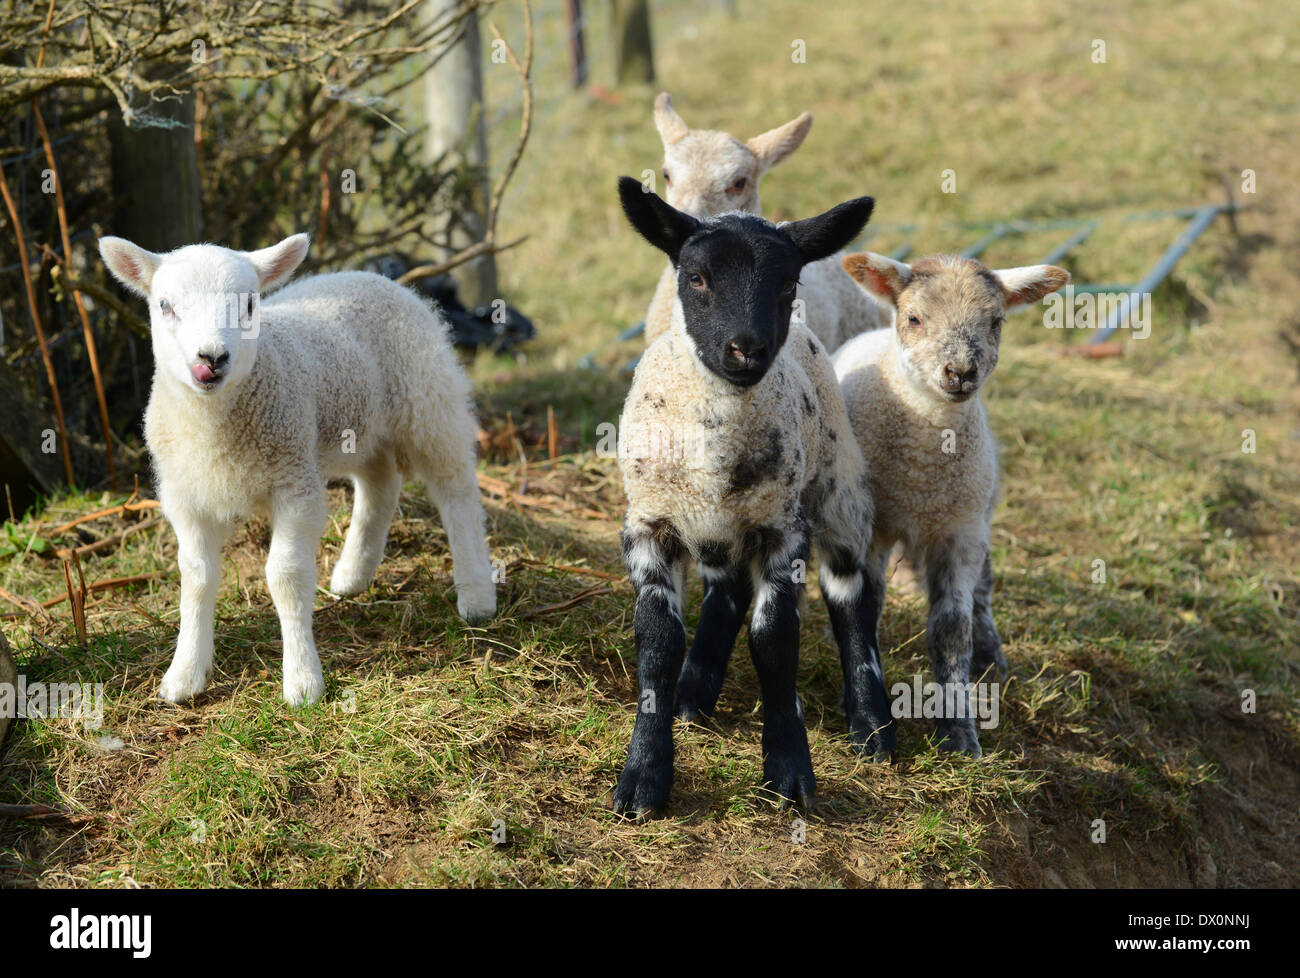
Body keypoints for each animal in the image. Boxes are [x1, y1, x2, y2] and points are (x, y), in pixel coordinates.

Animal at [97, 233, 497, 707]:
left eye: (250, 304)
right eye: (165, 305)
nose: (211, 358)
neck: (215, 427)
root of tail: (374, 278)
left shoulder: (294, 482)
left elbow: (285, 576)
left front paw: (303, 682)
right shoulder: (185, 496)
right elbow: (196, 578)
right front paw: (184, 676)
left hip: (427, 402)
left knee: (457, 491)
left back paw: (476, 595)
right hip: (359, 426)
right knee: (380, 485)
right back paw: (352, 576)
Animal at [611, 176, 893, 817]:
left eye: (789, 284)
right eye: (696, 277)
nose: (747, 348)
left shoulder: (783, 530)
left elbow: (776, 640)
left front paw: (789, 769)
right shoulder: (648, 525)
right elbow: (657, 642)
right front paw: (644, 777)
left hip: (838, 488)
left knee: (851, 595)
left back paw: (872, 724)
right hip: (722, 524)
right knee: (728, 589)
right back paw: (694, 691)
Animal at [835, 252, 1069, 756]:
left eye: (996, 321)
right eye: (914, 318)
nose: (960, 373)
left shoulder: (960, 531)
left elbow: (951, 627)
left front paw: (958, 730)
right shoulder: (871, 527)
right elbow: (867, 604)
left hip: (982, 508)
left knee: (984, 587)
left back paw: (990, 653)